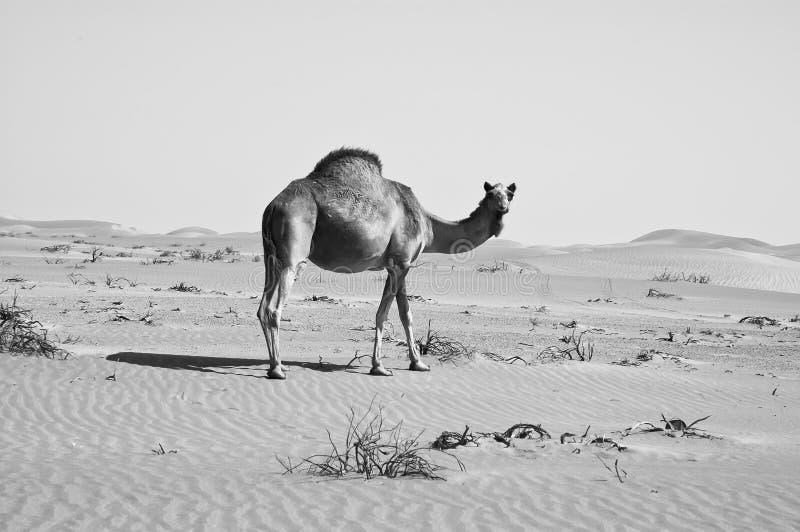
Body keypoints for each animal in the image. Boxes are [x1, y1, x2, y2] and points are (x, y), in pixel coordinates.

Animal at [258, 148, 516, 379]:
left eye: (510, 194)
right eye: (491, 195)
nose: (503, 208)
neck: (427, 224)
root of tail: (272, 206)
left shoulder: (401, 264)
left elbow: (405, 313)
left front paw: (418, 363)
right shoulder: (400, 263)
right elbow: (384, 313)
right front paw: (379, 367)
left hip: (271, 257)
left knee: (262, 308)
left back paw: (275, 365)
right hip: (293, 254)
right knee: (275, 309)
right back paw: (278, 369)